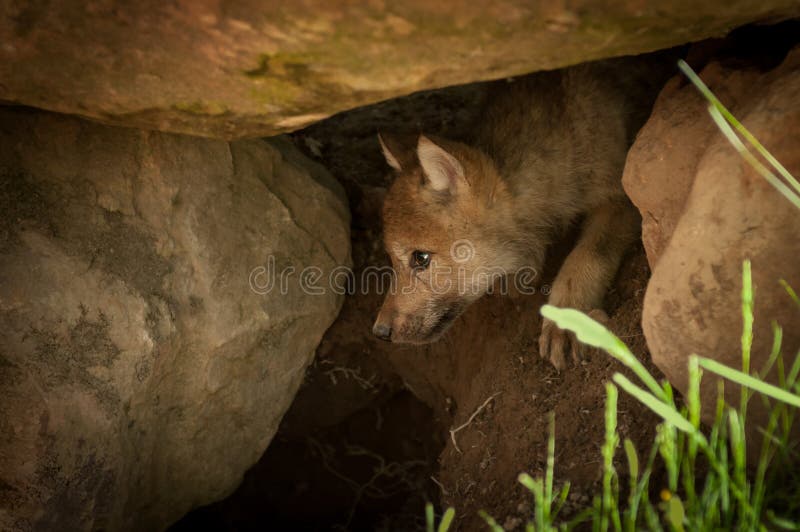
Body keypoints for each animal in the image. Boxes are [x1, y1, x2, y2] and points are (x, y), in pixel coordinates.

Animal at [372, 56, 672, 370]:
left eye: (421, 258)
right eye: (391, 259)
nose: (379, 332)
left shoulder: (619, 196)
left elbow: (584, 257)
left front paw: (566, 318)